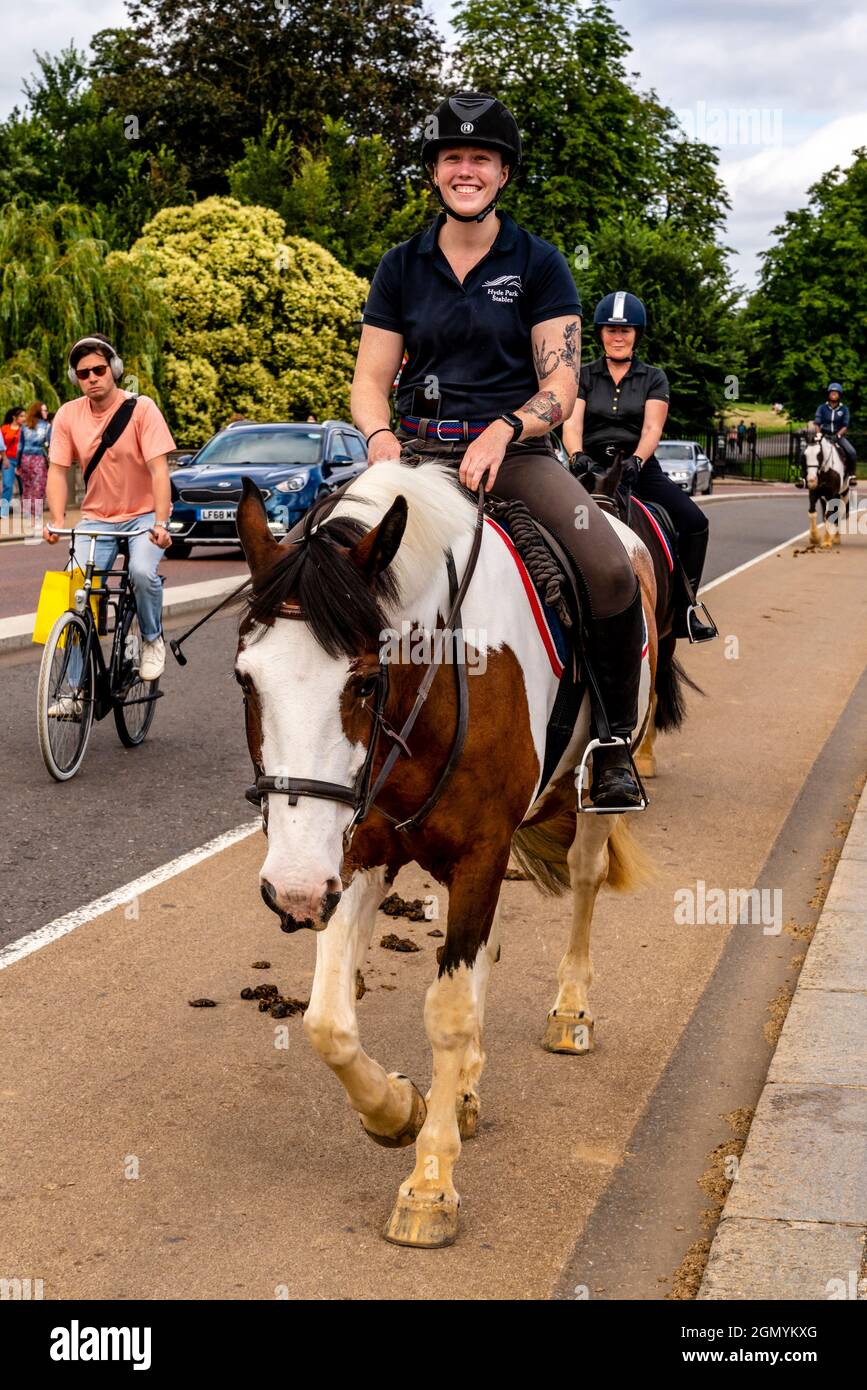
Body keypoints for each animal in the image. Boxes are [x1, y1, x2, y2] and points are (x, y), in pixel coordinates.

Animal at [233, 461, 659, 1249]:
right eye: (247, 678)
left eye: (365, 680)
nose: (293, 889)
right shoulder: (358, 851)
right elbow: (328, 1022)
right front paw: (400, 1109)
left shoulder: (478, 851)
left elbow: (450, 1011)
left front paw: (430, 1183)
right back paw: (457, 1091)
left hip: (587, 794)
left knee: (583, 881)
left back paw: (570, 1012)